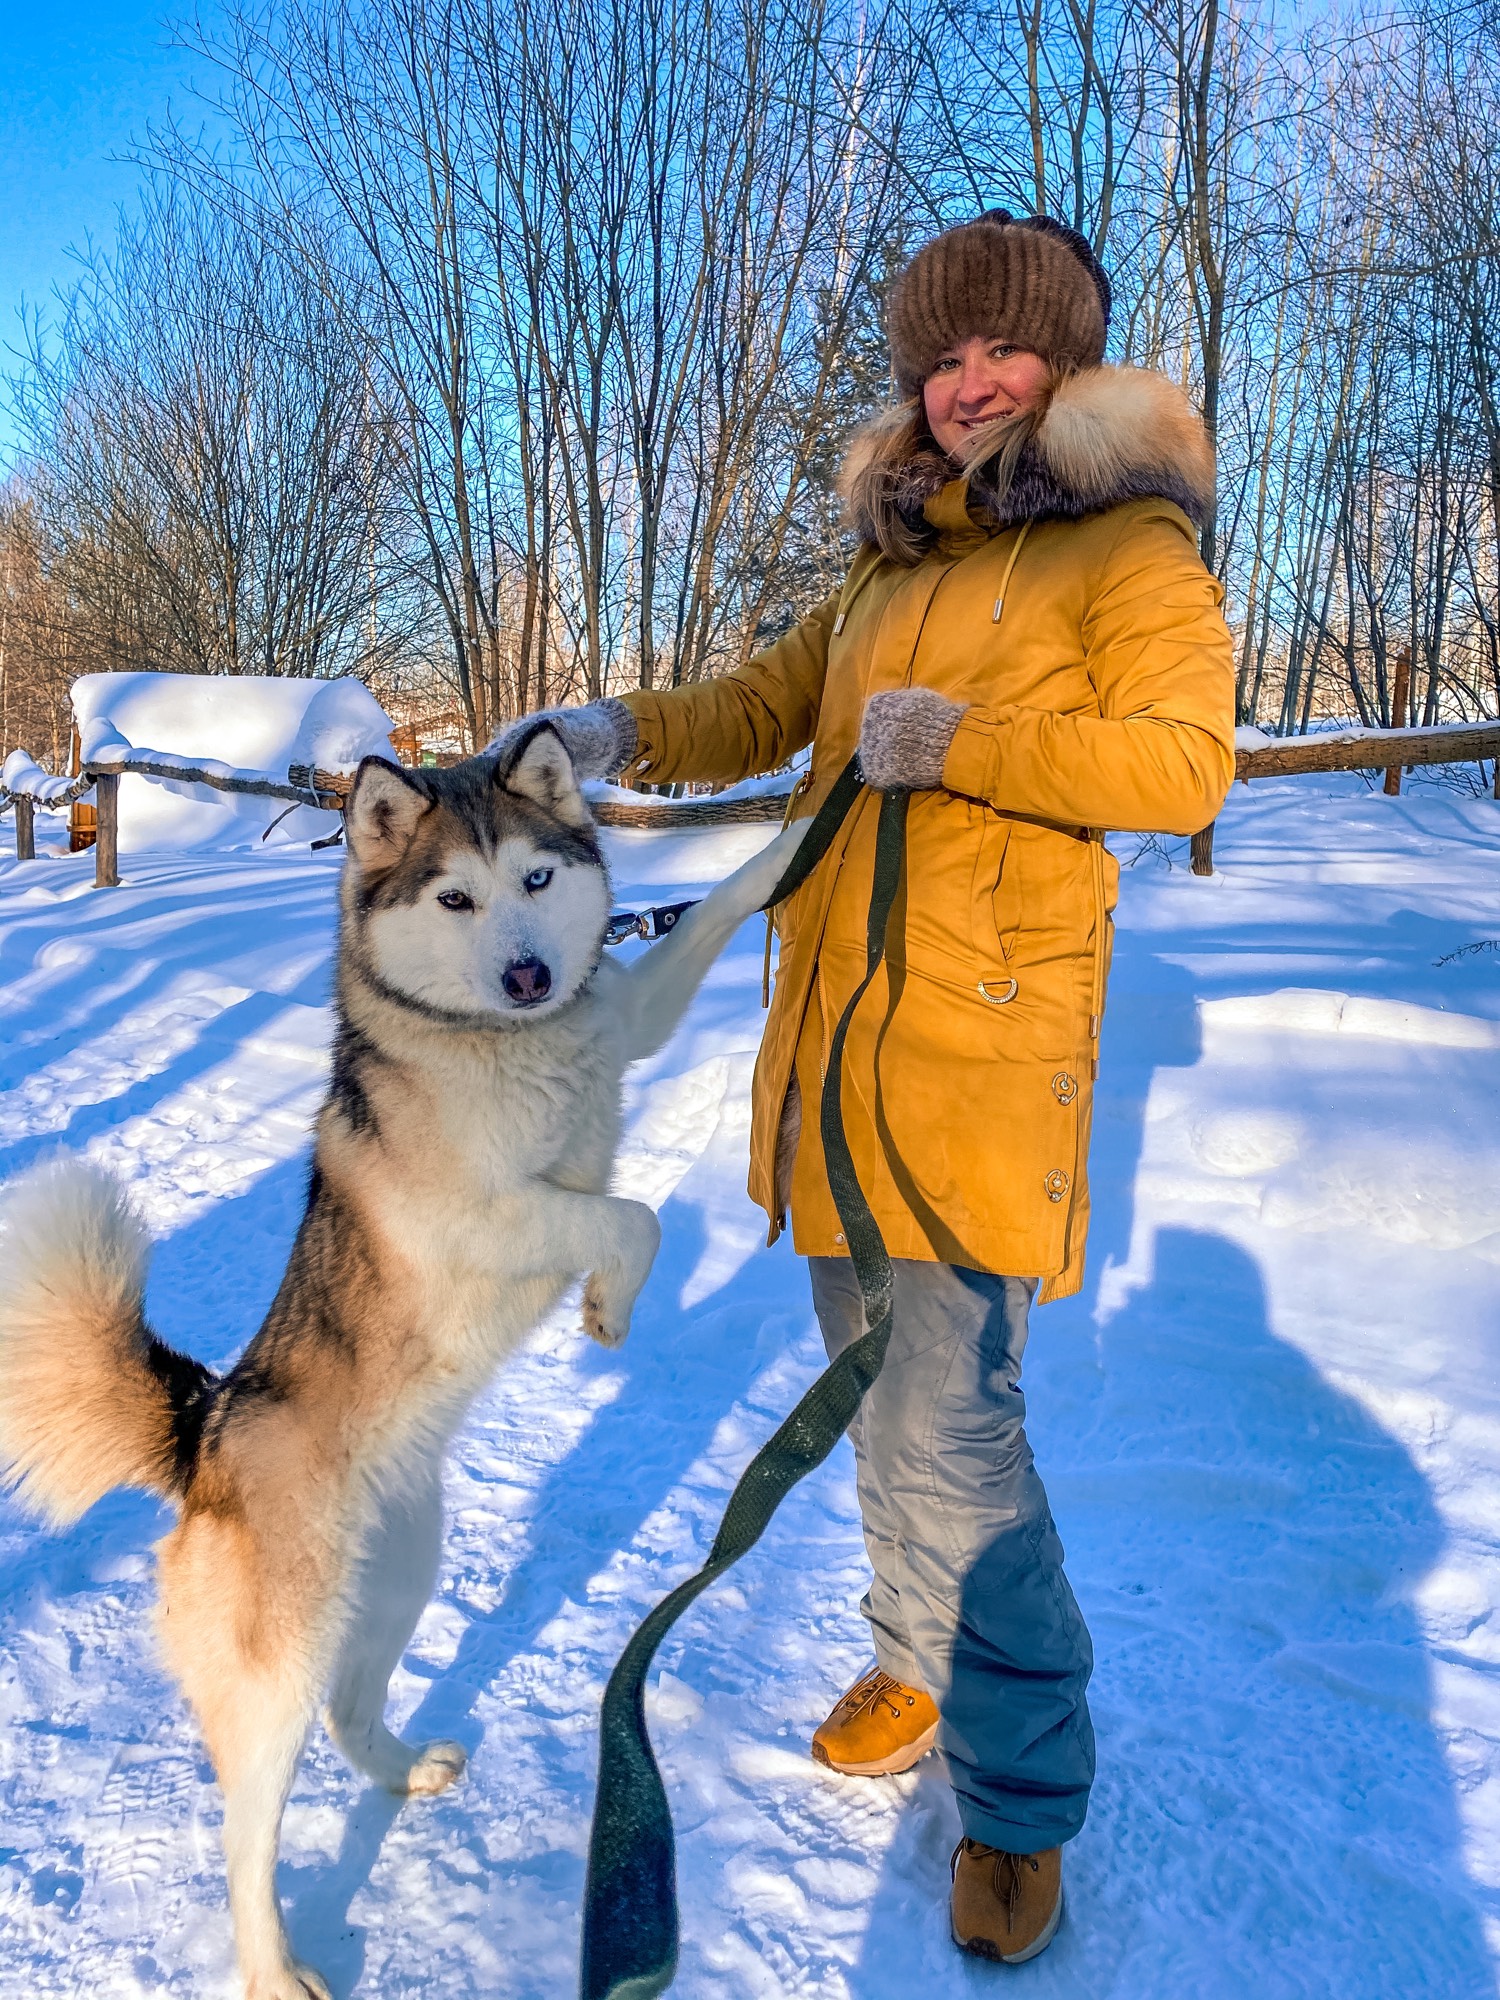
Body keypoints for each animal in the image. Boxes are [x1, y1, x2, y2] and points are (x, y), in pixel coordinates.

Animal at [0, 732, 812, 2000]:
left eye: (536, 879)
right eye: (454, 899)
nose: (529, 975)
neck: (504, 1041)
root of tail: (207, 1437)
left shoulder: (625, 1017)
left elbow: (720, 907)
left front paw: (819, 814)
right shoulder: (480, 1215)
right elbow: (630, 1217)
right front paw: (609, 1305)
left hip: (394, 1581)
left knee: (350, 1710)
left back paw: (399, 1770)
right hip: (278, 1660)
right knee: (244, 1828)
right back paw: (274, 1968)